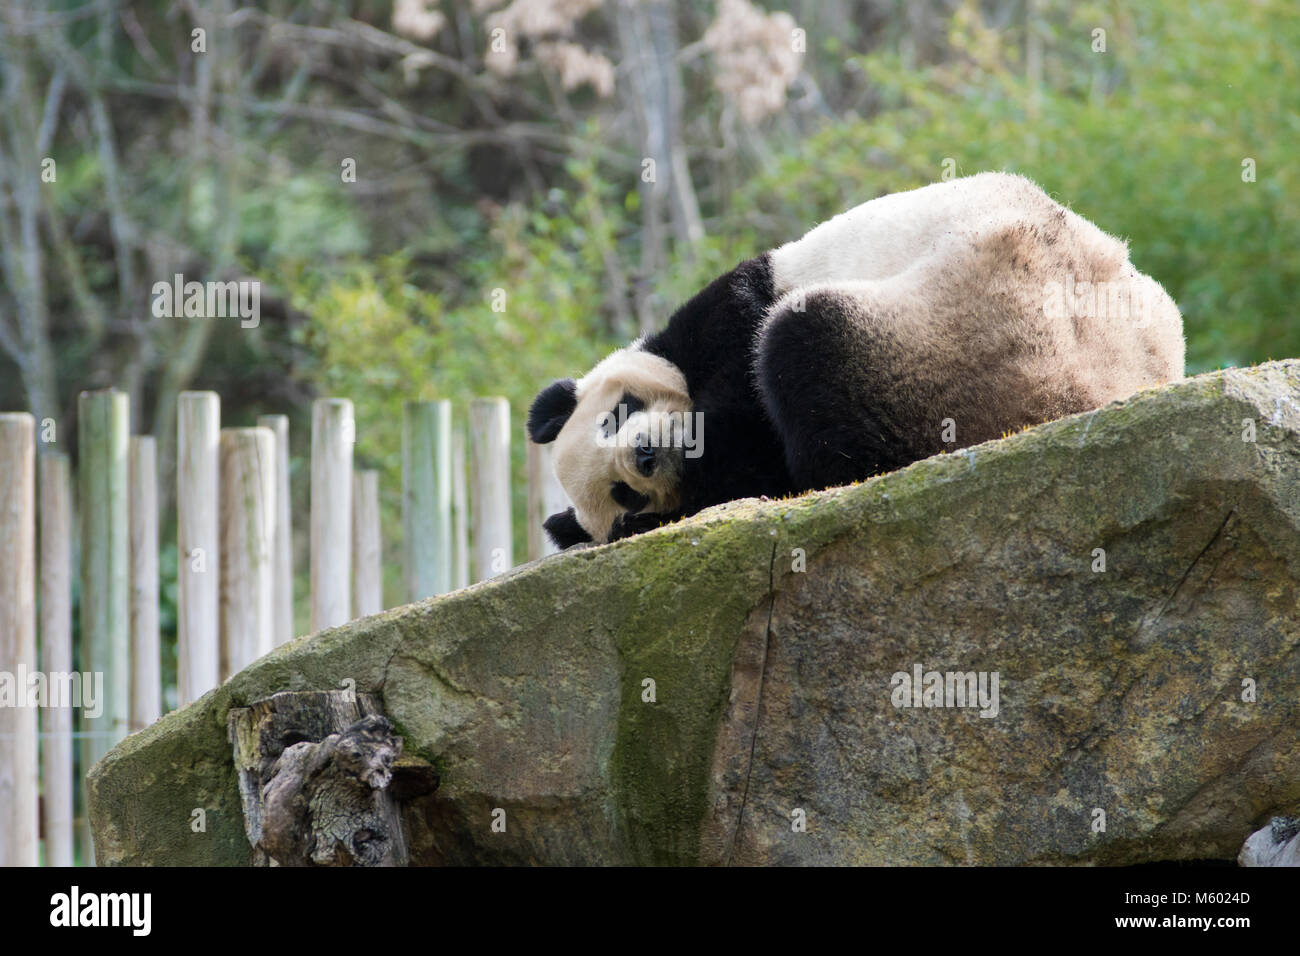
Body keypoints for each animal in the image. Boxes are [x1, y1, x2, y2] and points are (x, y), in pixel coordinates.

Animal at [528, 172, 1185, 549]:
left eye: (618, 413)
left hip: (966, 333)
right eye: (622, 495)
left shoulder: (729, 319)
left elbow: (744, 440)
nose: (645, 456)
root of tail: (1093, 391)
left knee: (805, 336)